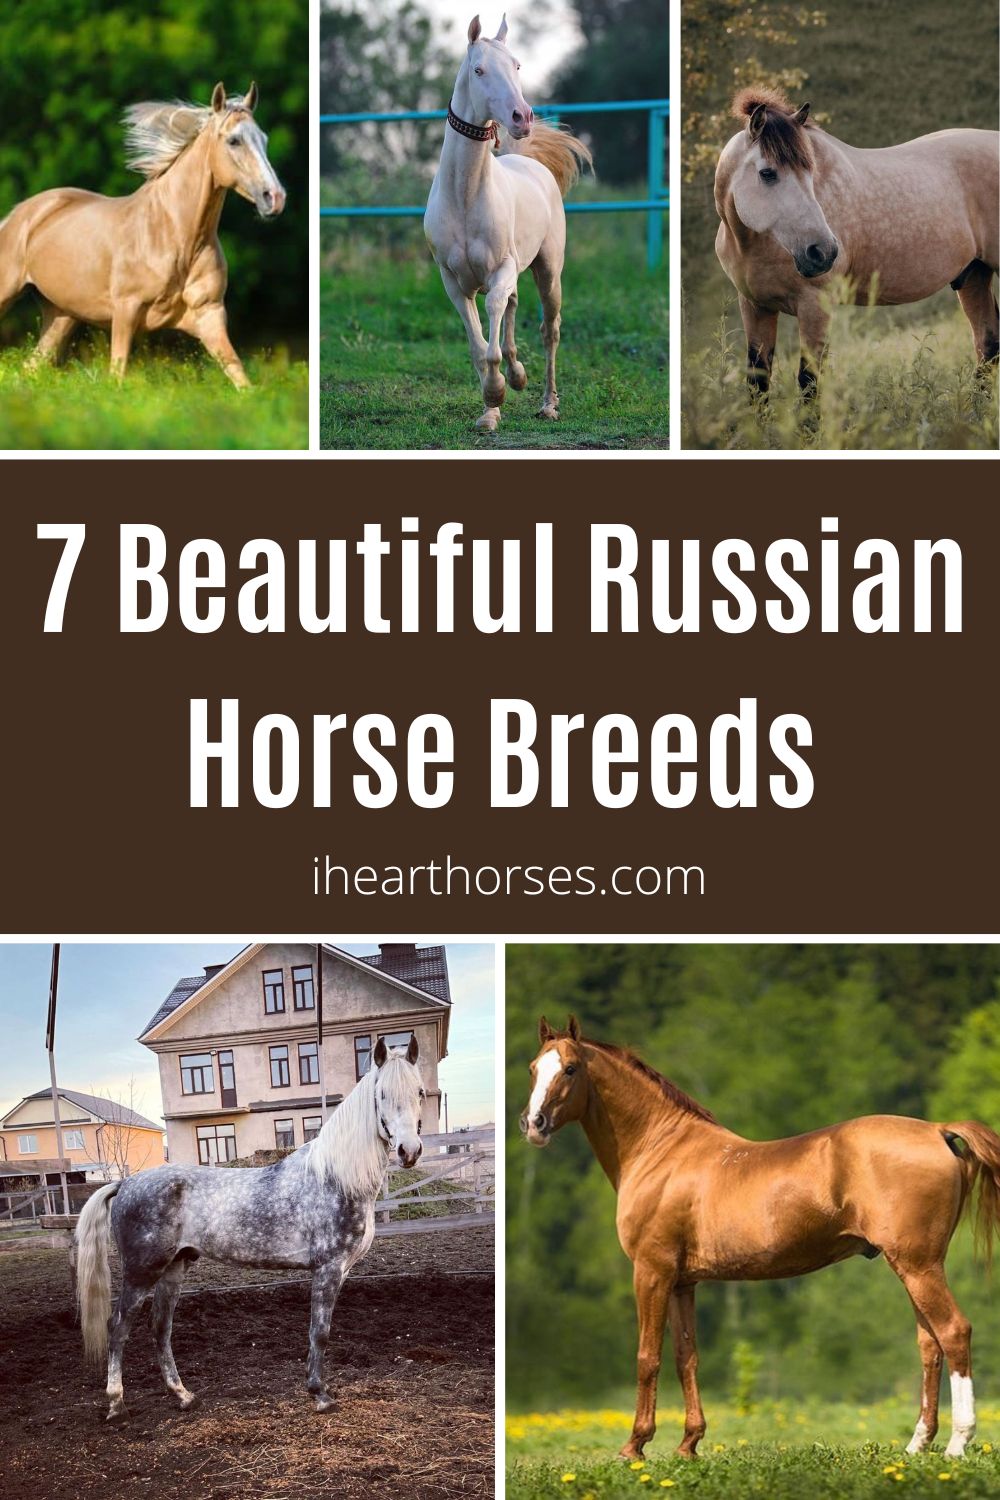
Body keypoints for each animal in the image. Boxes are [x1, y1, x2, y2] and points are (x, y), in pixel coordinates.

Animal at [0, 82, 285, 387]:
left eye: (264, 139)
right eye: (234, 141)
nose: (275, 198)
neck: (175, 238)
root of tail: (20, 214)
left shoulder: (210, 314)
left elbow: (240, 376)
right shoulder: (126, 311)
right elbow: (117, 375)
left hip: (61, 314)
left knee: (30, 368)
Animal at [74, 1038, 423, 1421]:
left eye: (420, 1092)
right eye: (382, 1095)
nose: (409, 1151)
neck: (335, 1177)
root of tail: (125, 1183)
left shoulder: (340, 1270)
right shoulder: (328, 1268)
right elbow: (320, 1332)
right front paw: (320, 1394)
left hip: (174, 1268)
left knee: (160, 1328)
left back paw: (183, 1395)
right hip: (141, 1272)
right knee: (118, 1327)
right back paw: (116, 1403)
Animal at [424, 15, 592, 432]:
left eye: (517, 65)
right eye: (479, 70)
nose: (522, 117)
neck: (465, 195)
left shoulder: (501, 269)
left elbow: (494, 324)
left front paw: (496, 394)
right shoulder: (452, 281)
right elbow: (478, 345)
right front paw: (492, 406)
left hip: (548, 271)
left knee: (550, 330)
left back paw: (548, 403)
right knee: (514, 313)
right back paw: (518, 376)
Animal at [520, 1015, 1000, 1462]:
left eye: (570, 1069)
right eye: (533, 1068)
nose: (533, 1124)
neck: (661, 1151)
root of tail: (937, 1129)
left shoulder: (651, 1272)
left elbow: (647, 1357)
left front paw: (634, 1446)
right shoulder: (682, 1282)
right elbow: (685, 1357)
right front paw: (688, 1444)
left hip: (918, 1265)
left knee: (954, 1332)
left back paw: (958, 1443)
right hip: (914, 1266)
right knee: (929, 1344)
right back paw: (918, 1444)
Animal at [713, 87, 999, 402]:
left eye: (810, 170)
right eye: (767, 173)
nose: (823, 252)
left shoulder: (815, 307)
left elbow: (809, 382)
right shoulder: (755, 306)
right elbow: (758, 382)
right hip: (974, 276)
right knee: (987, 346)